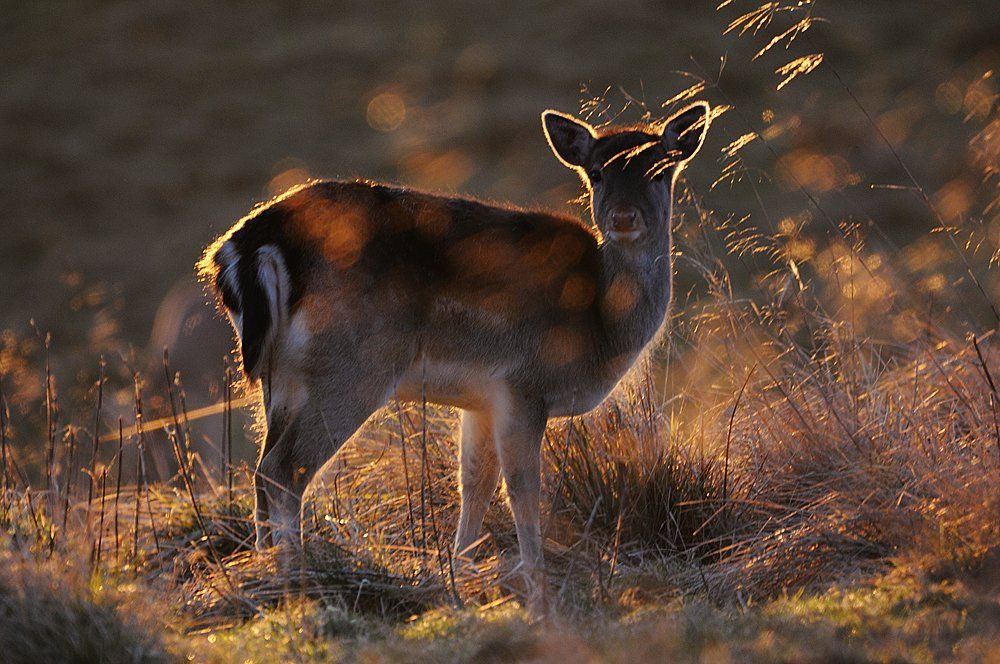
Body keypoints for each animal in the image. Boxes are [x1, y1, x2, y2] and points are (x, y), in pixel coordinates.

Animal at [198, 101, 710, 613]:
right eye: (598, 172)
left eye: (661, 170)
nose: (624, 218)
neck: (599, 329)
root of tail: (243, 247)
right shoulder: (522, 384)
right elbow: (522, 487)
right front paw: (537, 586)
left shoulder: (481, 401)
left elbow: (474, 483)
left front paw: (458, 575)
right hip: (352, 368)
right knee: (283, 469)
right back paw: (299, 578)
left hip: (278, 378)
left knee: (261, 470)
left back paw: (263, 574)